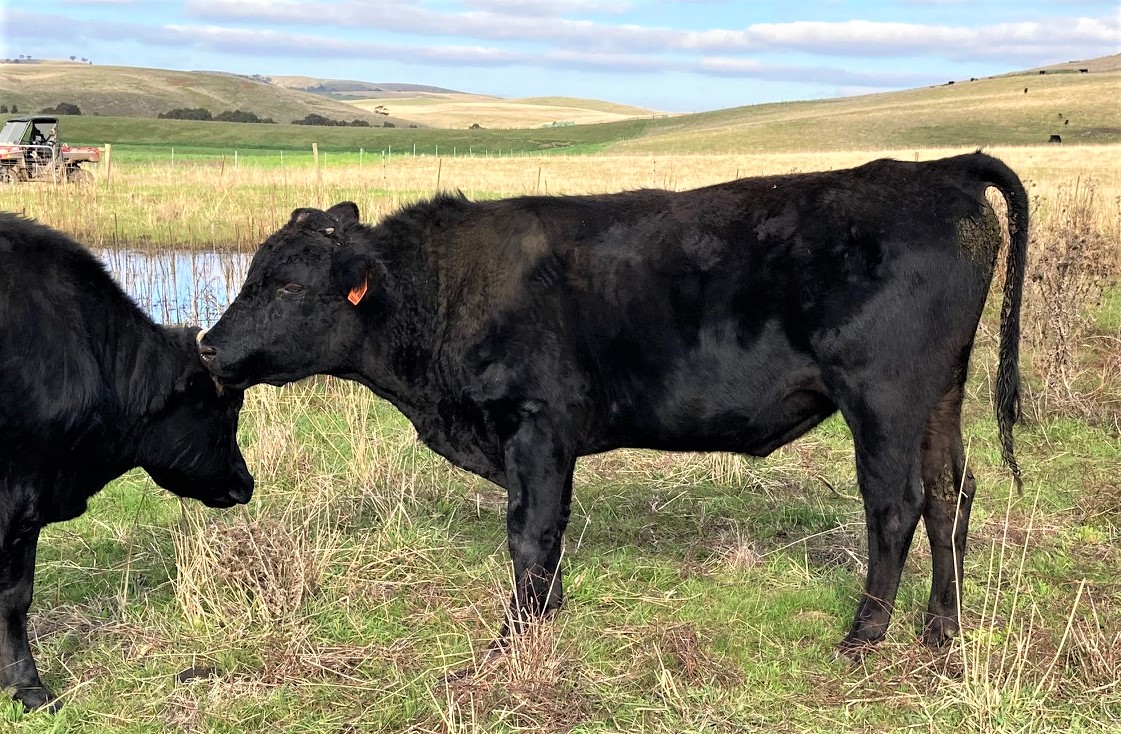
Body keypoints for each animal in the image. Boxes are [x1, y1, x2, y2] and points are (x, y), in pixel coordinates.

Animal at [200, 151, 1027, 659]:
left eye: (286, 285)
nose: (206, 346)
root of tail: (934, 171)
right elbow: (541, 535)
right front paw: (544, 616)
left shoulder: (535, 426)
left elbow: (529, 532)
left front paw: (512, 638)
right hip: (939, 394)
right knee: (952, 493)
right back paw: (941, 628)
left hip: (881, 398)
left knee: (895, 504)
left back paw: (863, 634)